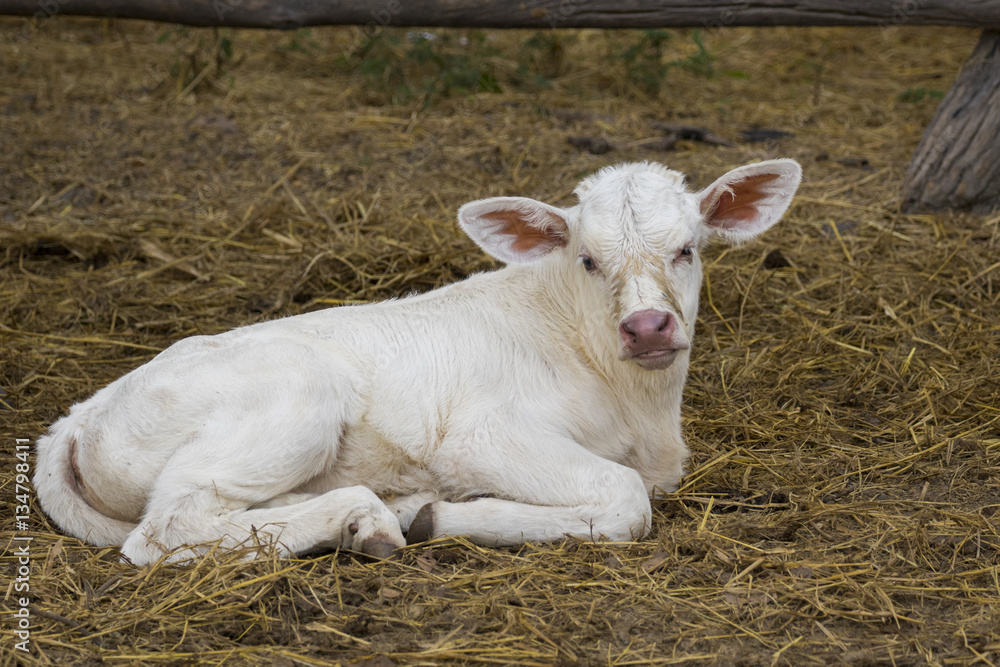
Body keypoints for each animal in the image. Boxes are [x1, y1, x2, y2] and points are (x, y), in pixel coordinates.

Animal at [34, 158, 802, 564]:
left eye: (688, 248)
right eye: (587, 258)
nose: (646, 327)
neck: (639, 407)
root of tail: (78, 417)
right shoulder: (483, 436)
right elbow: (623, 497)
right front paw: (447, 517)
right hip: (298, 394)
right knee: (166, 527)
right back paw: (370, 519)